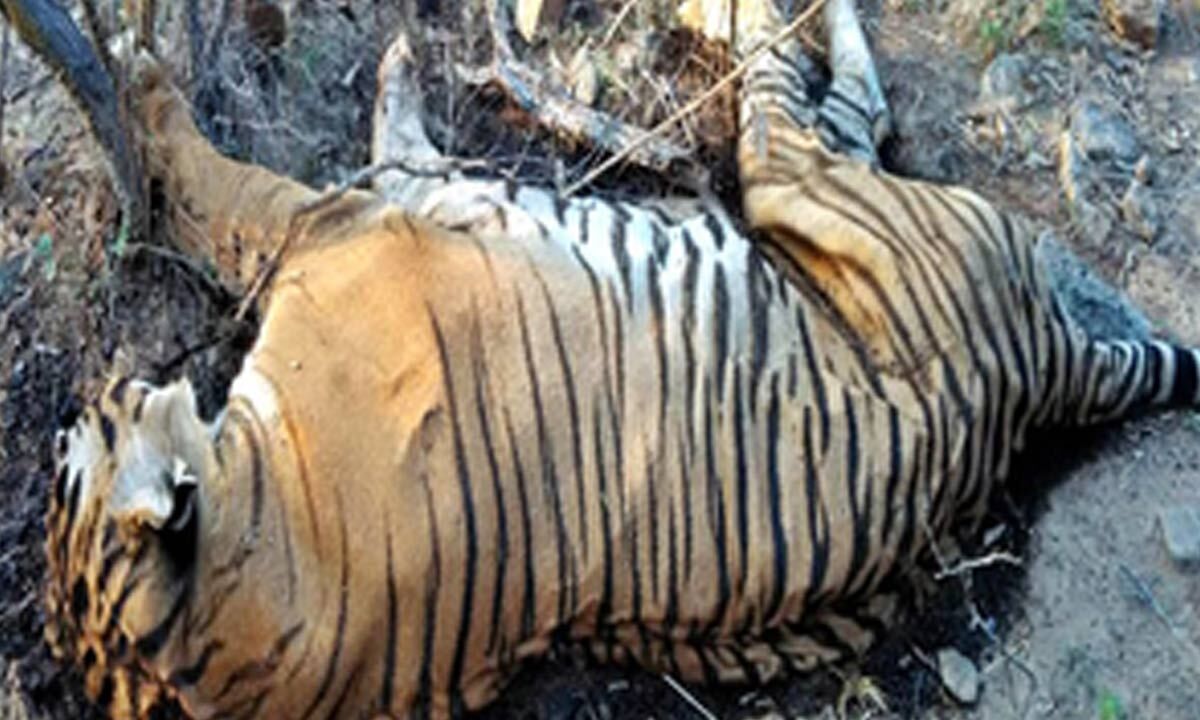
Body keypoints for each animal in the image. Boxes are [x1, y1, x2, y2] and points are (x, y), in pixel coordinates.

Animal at [43, 0, 1200, 718]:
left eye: (70, 454)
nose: (95, 396)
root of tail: (1036, 376)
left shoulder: (348, 214)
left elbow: (242, 183)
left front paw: (151, 73)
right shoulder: (340, 219)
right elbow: (223, 186)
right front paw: (145, 79)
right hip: (813, 183)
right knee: (815, 87)